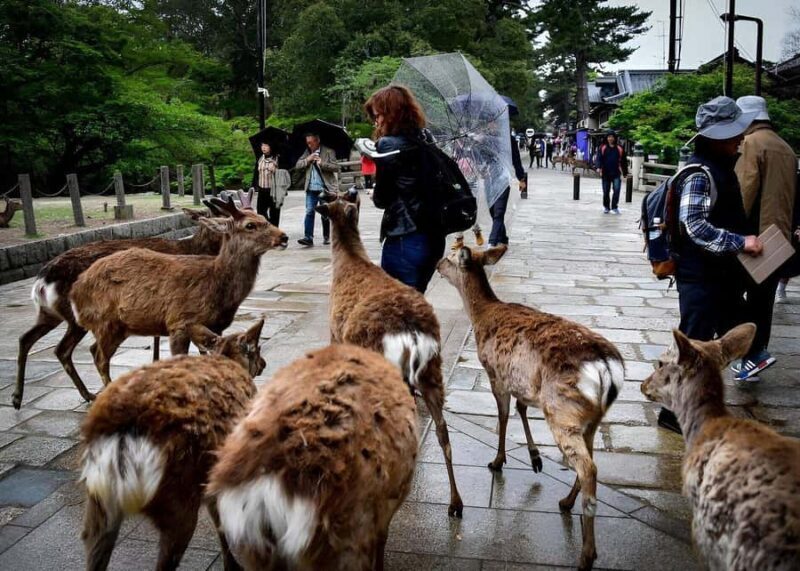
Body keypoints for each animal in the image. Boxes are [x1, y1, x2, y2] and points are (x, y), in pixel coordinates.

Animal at [12, 201, 241, 409]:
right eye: (216, 217)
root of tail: (42, 282)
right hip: (77, 316)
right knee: (63, 349)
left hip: (49, 314)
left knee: (28, 339)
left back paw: (21, 398)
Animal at [69, 201, 287, 387]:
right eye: (250, 225)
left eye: (263, 217)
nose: (283, 237)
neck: (215, 287)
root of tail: (75, 289)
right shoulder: (178, 321)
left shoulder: (214, 326)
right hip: (105, 321)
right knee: (100, 358)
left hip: (119, 327)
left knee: (93, 350)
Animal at [313, 195, 463, 518]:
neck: (348, 263)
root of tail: (411, 333)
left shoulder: (334, 334)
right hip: (433, 370)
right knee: (442, 432)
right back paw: (455, 503)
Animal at [437, 245, 625, 571]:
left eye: (450, 255)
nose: (436, 264)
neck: (480, 316)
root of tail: (607, 368)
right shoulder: (523, 382)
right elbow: (521, 410)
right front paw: (535, 458)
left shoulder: (495, 373)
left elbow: (503, 415)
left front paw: (497, 461)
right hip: (592, 416)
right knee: (591, 458)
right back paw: (566, 502)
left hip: (560, 409)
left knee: (588, 466)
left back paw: (586, 554)